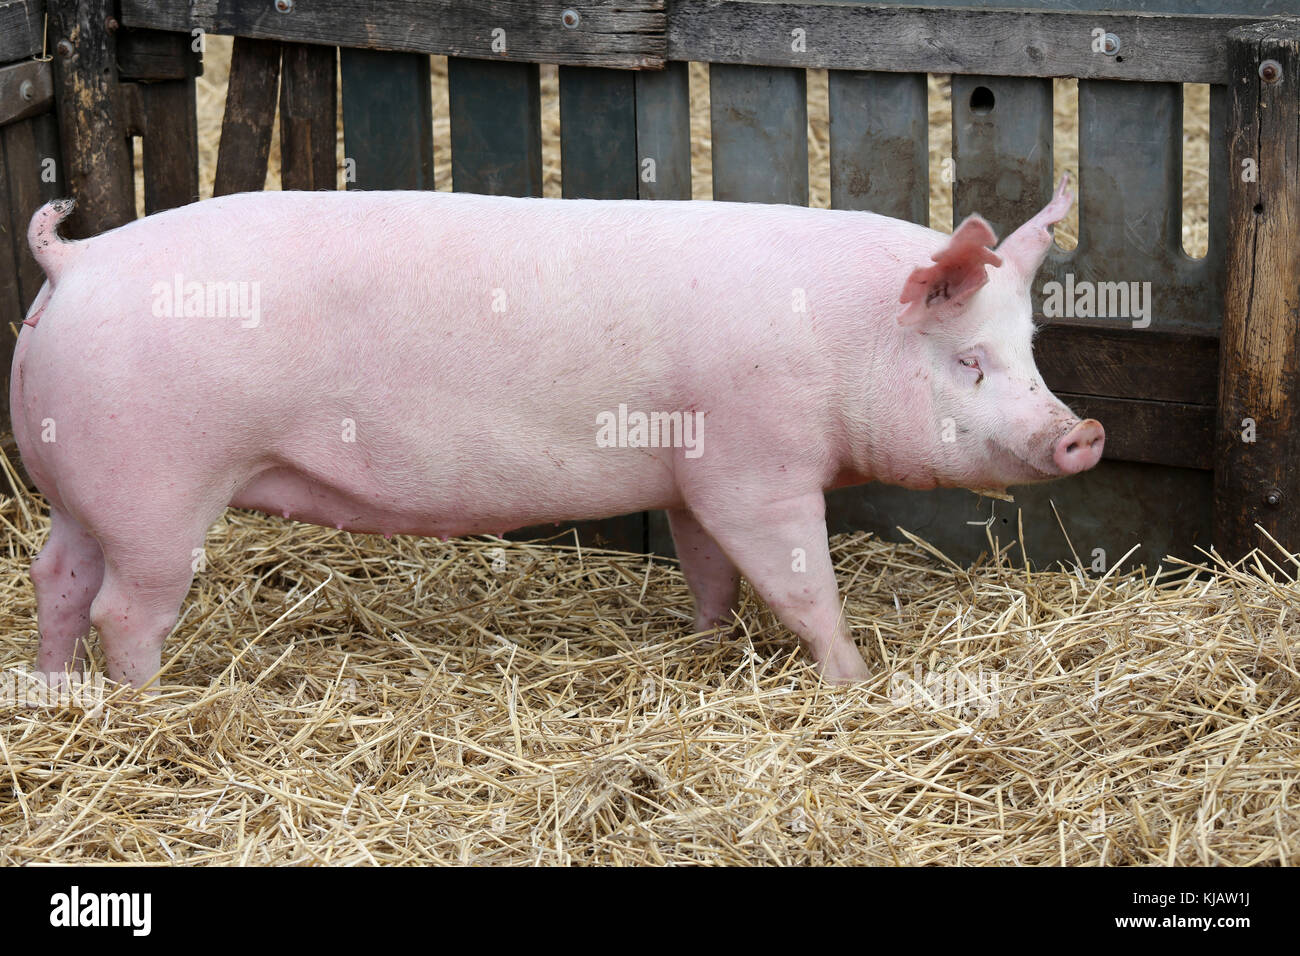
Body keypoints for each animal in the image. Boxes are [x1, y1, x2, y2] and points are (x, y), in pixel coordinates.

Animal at [11, 175, 1102, 689]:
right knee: (124, 610)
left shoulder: (693, 470)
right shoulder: (756, 464)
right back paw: (154, 701)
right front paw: (856, 679)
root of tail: (76, 262)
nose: (1081, 433)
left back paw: (58, 690)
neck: (843, 337)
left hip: (80, 484)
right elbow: (800, 581)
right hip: (158, 488)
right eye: (969, 362)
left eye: (1030, 348)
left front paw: (704, 641)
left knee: (54, 579)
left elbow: (708, 567)